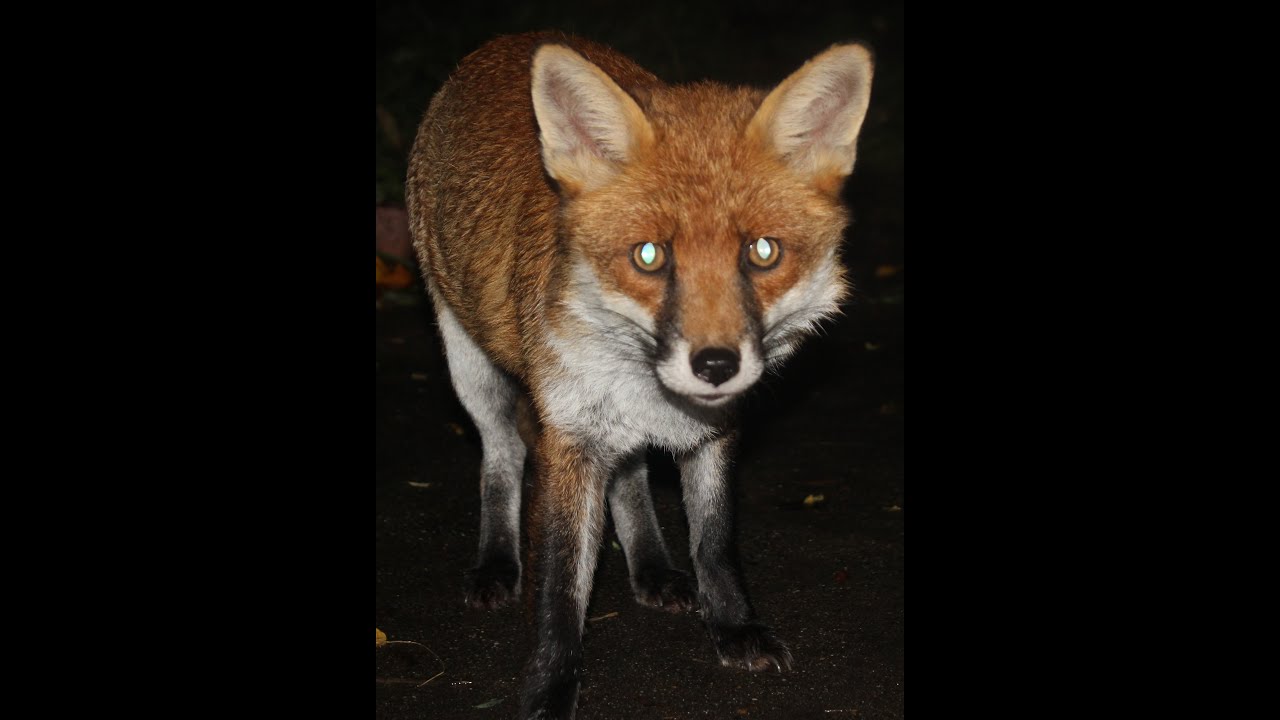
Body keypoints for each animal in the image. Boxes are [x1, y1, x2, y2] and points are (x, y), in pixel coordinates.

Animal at [407, 32, 873, 719]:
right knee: (500, 458)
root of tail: (507, 43)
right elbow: (561, 587)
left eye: (762, 252)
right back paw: (496, 562)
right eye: (649, 257)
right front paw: (550, 686)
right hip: (470, 367)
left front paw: (732, 626)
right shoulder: (569, 439)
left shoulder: (715, 429)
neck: (641, 380)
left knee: (628, 476)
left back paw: (651, 567)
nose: (716, 365)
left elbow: (713, 542)